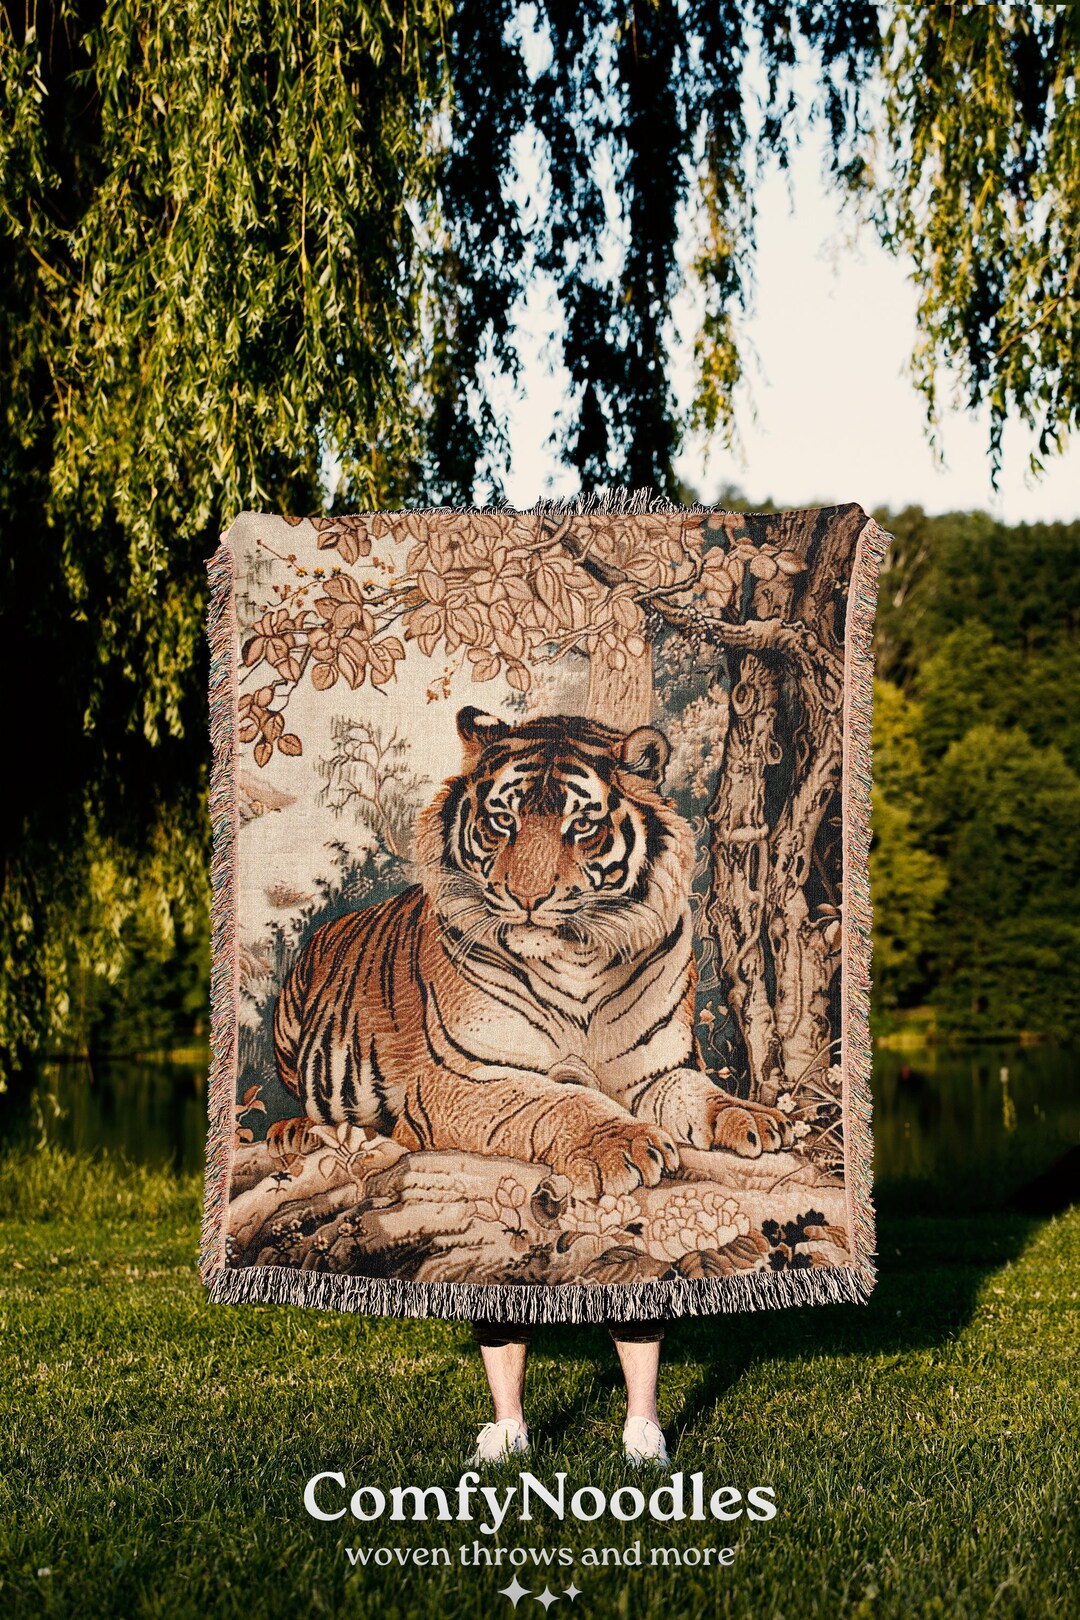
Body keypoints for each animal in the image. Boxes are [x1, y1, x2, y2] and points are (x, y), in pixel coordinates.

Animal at [269, 707, 791, 1200]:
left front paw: (751, 1115)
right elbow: (553, 1100)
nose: (526, 897)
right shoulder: (459, 1076)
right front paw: (619, 1143)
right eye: (503, 820)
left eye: (582, 825)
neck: (580, 961)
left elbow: (697, 1090)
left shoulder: (659, 1067)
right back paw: (295, 1133)